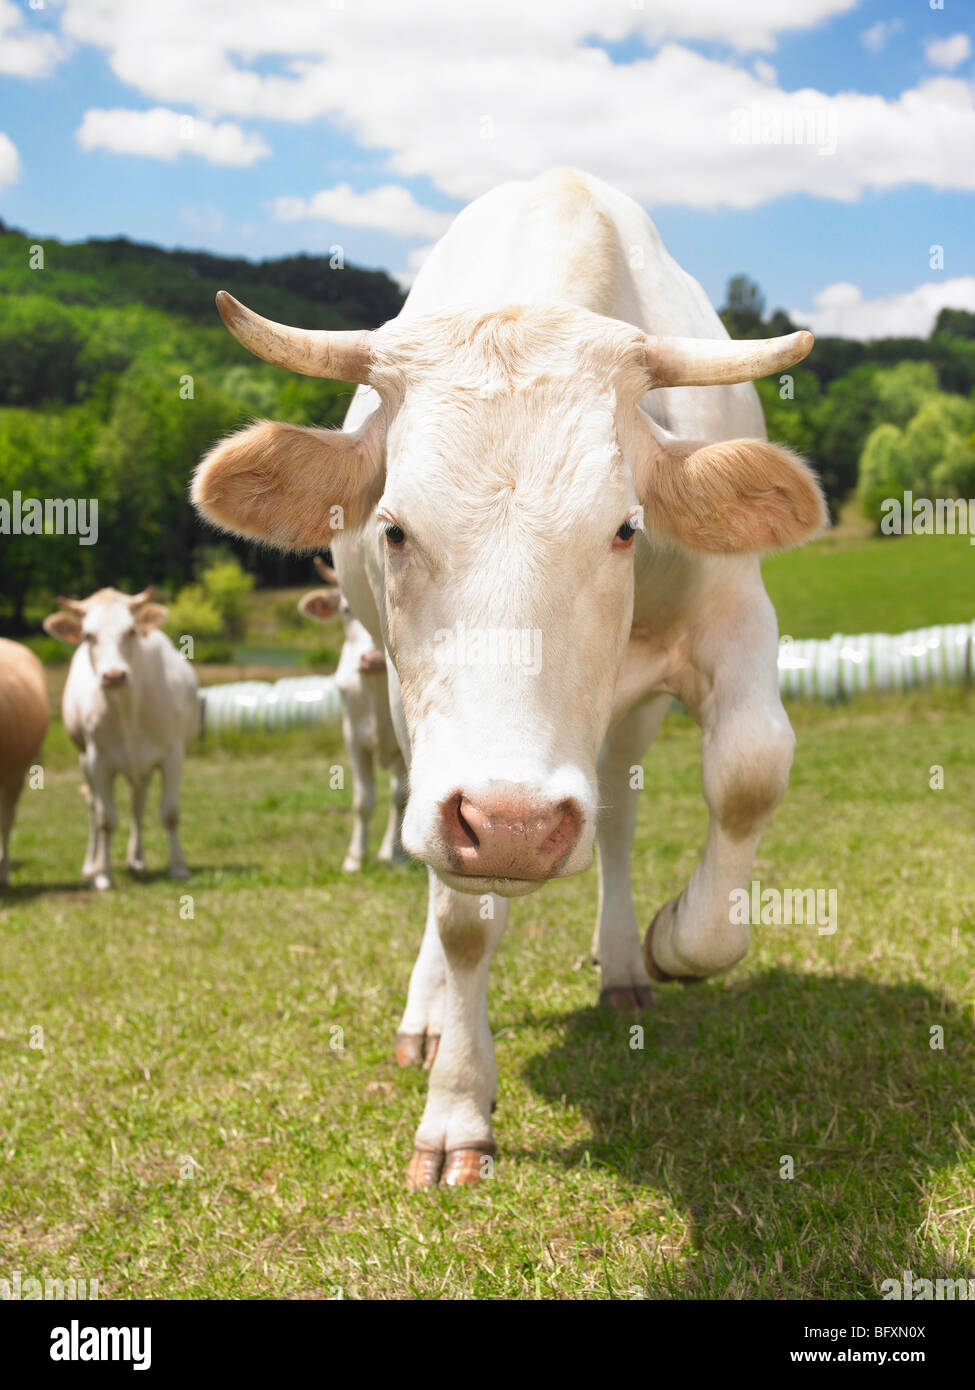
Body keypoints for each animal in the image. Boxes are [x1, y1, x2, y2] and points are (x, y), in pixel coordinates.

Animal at [42, 588, 199, 891]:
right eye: (88, 635)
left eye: (131, 631)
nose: (114, 675)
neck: (128, 707)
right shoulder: (98, 759)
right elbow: (106, 819)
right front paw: (103, 874)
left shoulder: (173, 755)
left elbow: (170, 812)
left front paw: (178, 867)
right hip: (84, 761)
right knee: (93, 807)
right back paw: (91, 865)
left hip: (143, 769)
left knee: (138, 806)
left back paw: (136, 859)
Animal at [298, 557, 408, 872]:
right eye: (347, 611)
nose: (371, 659)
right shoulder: (353, 740)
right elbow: (363, 800)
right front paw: (354, 858)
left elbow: (398, 798)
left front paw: (396, 856)